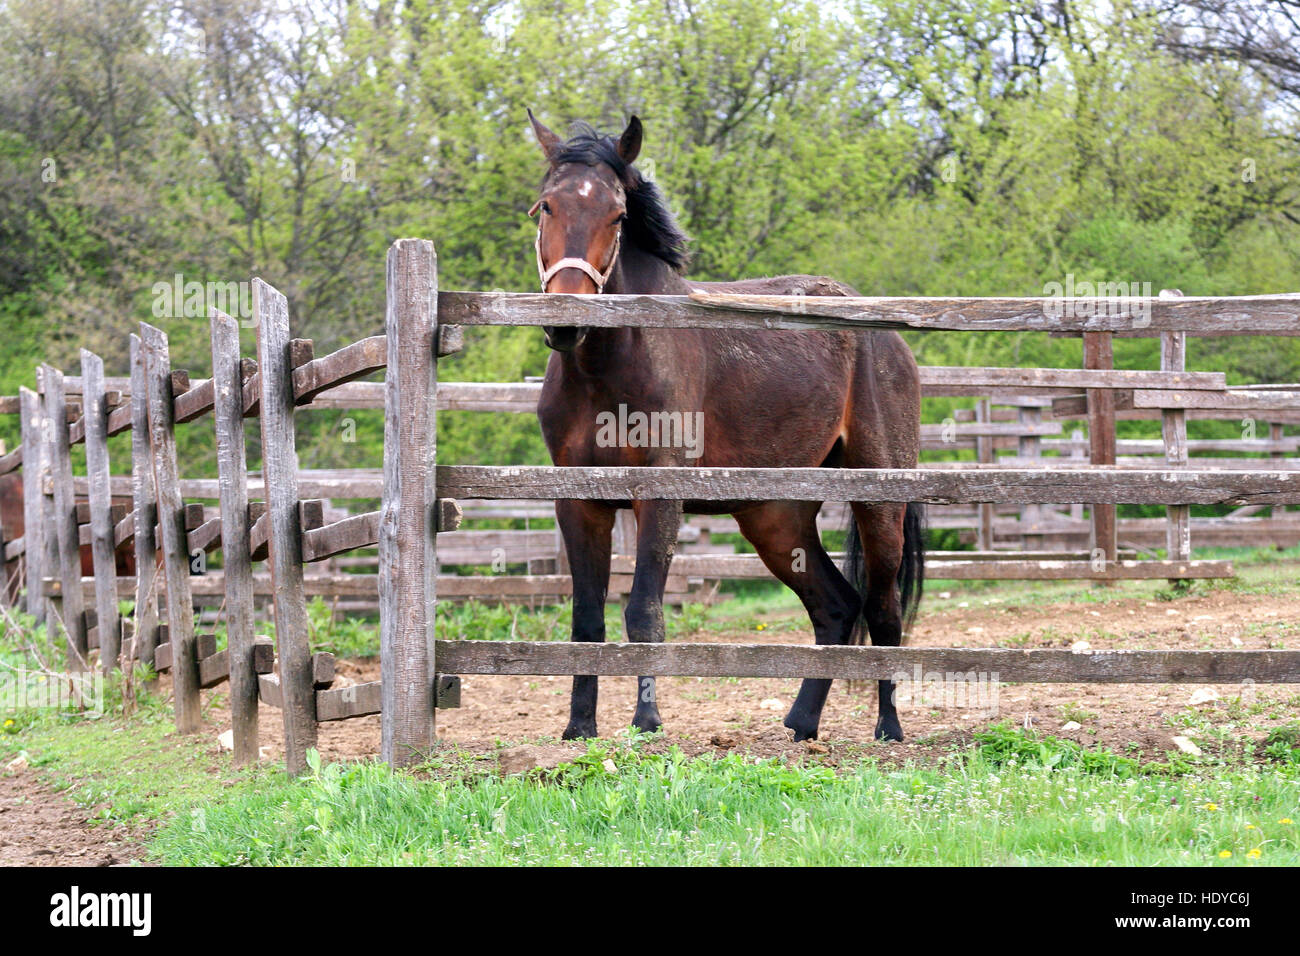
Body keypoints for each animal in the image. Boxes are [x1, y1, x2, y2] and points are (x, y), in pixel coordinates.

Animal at [527, 111, 924, 742]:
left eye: (617, 215)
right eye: (546, 206)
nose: (567, 322)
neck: (610, 365)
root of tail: (885, 334)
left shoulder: (659, 495)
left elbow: (643, 611)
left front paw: (647, 722)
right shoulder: (578, 500)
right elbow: (586, 619)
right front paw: (579, 728)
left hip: (878, 496)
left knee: (883, 609)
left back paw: (888, 727)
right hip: (775, 515)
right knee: (836, 606)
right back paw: (801, 723)